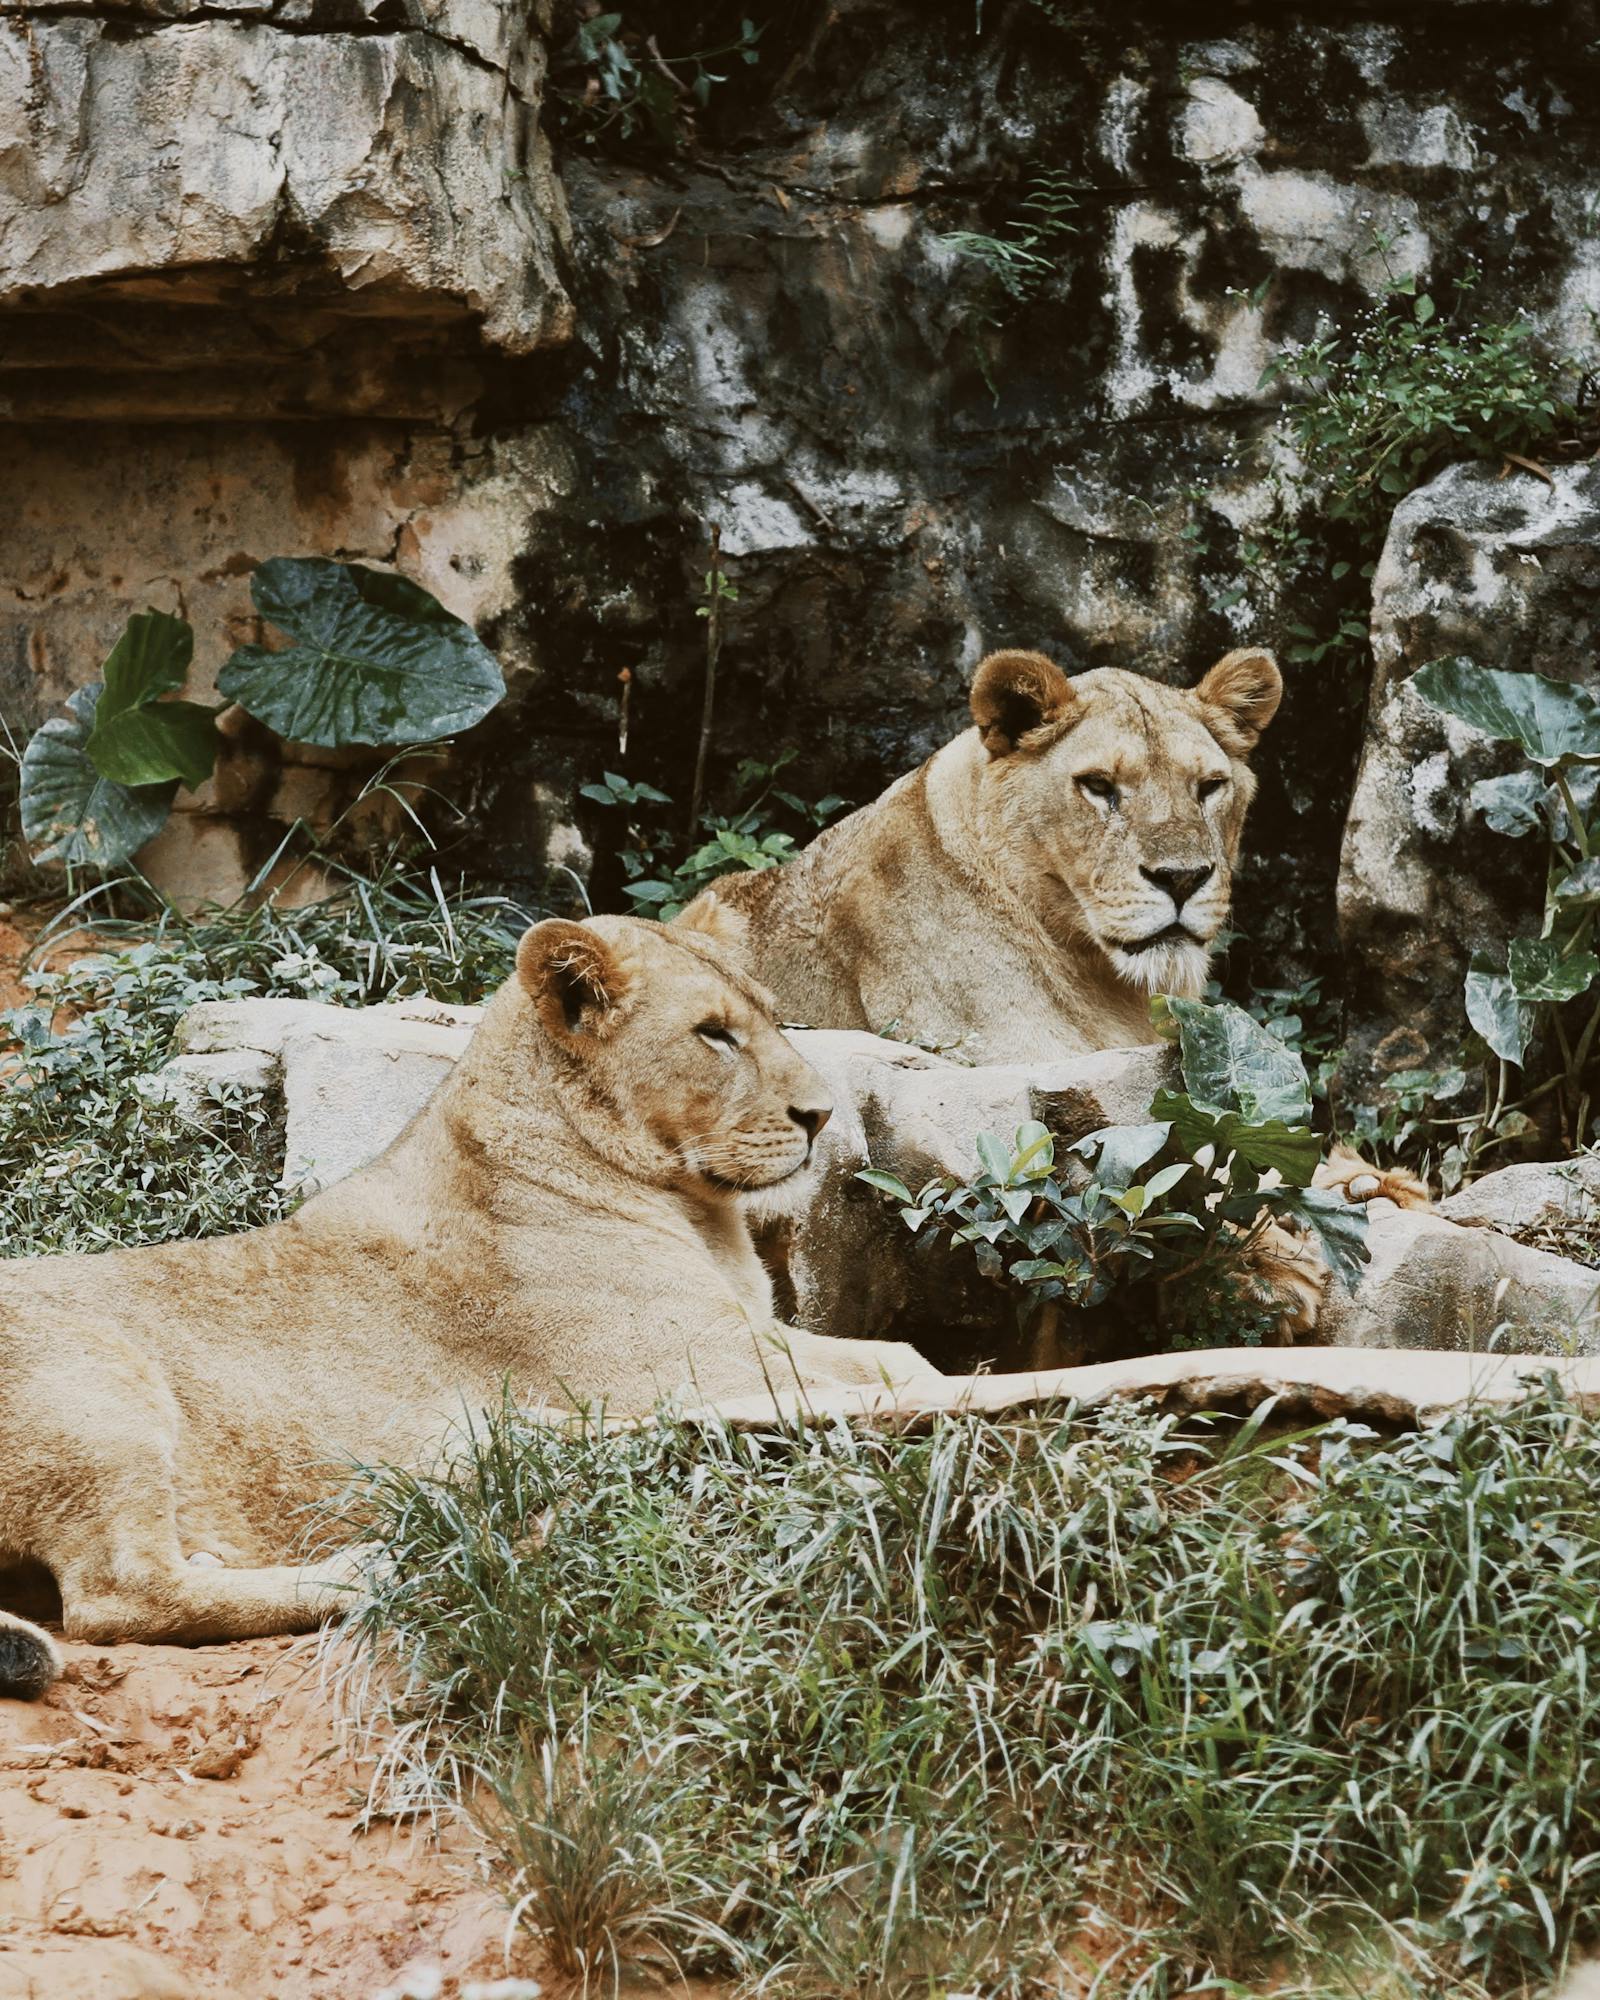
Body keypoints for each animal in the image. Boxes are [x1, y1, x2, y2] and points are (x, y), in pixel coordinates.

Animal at [0, 912, 936, 1700]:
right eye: (713, 1034)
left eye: (778, 1020)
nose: (822, 1115)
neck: (700, 1210)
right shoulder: (693, 1362)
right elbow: (891, 1362)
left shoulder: (745, 1335)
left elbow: (887, 1354)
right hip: (94, 1387)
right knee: (118, 1596)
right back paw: (377, 1565)